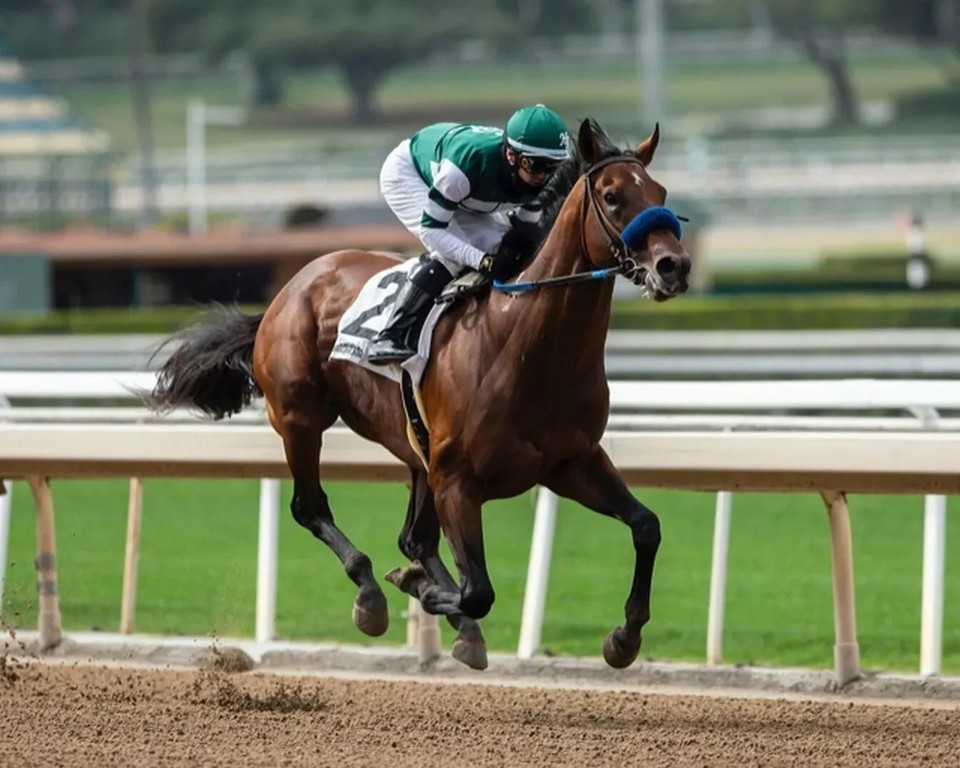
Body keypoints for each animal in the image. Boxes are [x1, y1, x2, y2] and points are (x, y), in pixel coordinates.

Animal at [149, 117, 691, 671]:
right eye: (612, 196)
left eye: (661, 193)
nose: (674, 266)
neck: (524, 344)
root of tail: (288, 291)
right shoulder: (457, 480)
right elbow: (478, 590)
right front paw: (422, 590)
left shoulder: (571, 462)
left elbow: (646, 526)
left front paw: (623, 638)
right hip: (301, 419)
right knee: (311, 508)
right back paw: (371, 595)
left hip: (415, 451)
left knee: (413, 537)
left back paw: (451, 620)